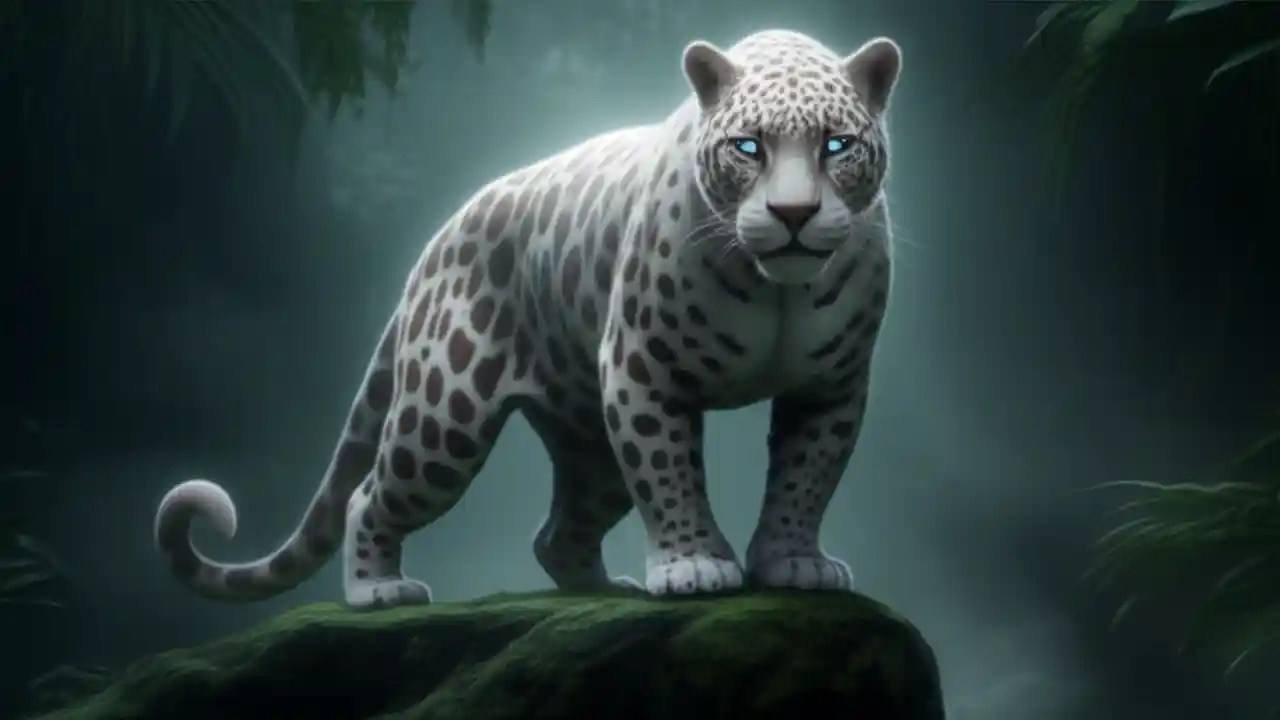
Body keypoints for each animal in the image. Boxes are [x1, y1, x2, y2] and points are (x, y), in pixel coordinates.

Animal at [153, 28, 903, 608]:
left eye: (837, 146)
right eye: (749, 147)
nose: (793, 214)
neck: (778, 289)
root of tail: (433, 247)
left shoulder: (832, 387)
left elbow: (807, 477)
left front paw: (793, 562)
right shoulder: (643, 370)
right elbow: (669, 472)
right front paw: (694, 565)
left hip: (591, 446)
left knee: (557, 533)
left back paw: (607, 590)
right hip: (442, 422)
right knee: (369, 495)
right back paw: (379, 591)